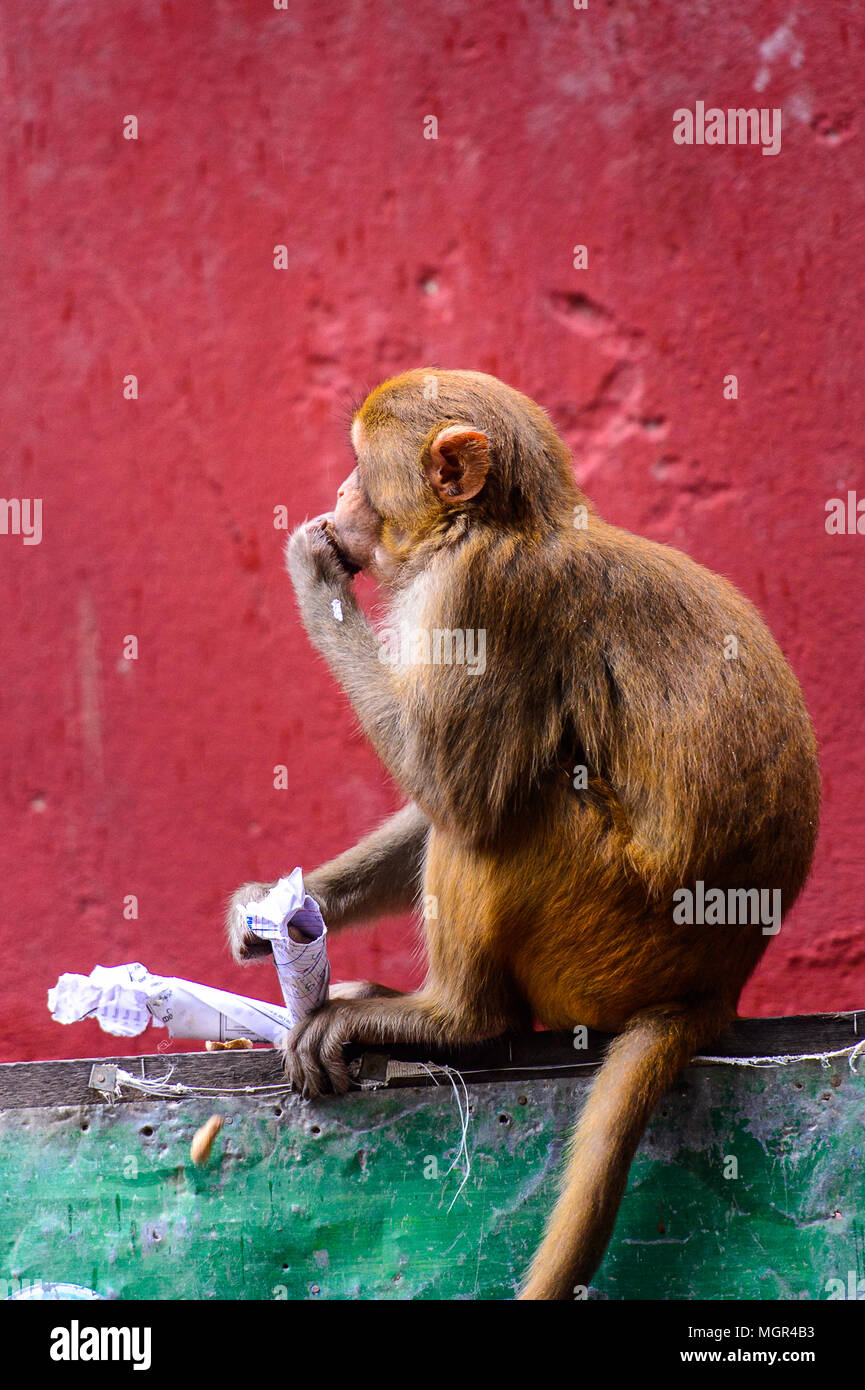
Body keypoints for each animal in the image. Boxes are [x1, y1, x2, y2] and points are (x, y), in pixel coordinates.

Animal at [226, 368, 820, 1300]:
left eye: (359, 465)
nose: (338, 495)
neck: (500, 526)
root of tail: (714, 988)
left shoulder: (486, 596)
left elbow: (459, 794)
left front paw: (310, 568)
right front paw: (280, 909)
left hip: (604, 940)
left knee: (513, 814)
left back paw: (453, 1019)